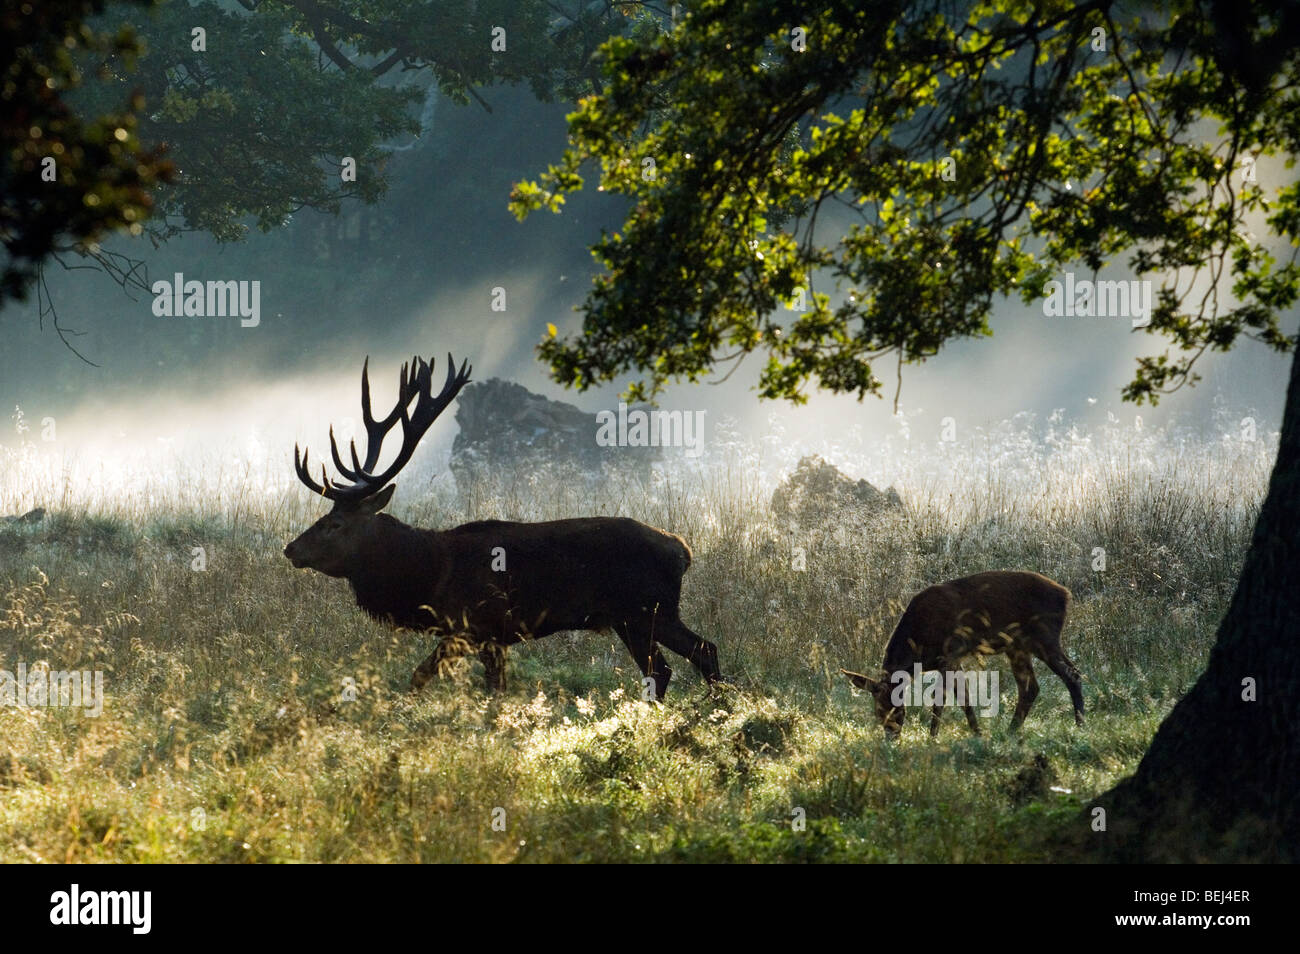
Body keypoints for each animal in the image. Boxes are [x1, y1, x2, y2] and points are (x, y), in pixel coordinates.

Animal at [283, 352, 725, 699]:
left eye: (335, 522)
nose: (290, 549)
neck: (429, 575)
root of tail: (682, 550)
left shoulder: (483, 627)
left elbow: (467, 685)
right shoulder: (478, 634)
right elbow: (426, 677)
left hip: (650, 608)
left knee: (698, 652)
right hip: (628, 618)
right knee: (666, 667)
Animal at [840, 570, 1085, 737]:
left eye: (893, 708)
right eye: (878, 711)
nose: (891, 735)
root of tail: (1066, 595)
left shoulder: (952, 652)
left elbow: (948, 699)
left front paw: (939, 736)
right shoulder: (947, 660)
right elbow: (954, 699)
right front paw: (969, 734)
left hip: (1045, 636)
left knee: (1072, 674)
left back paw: (1080, 724)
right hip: (1017, 646)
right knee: (1030, 687)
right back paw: (1010, 731)